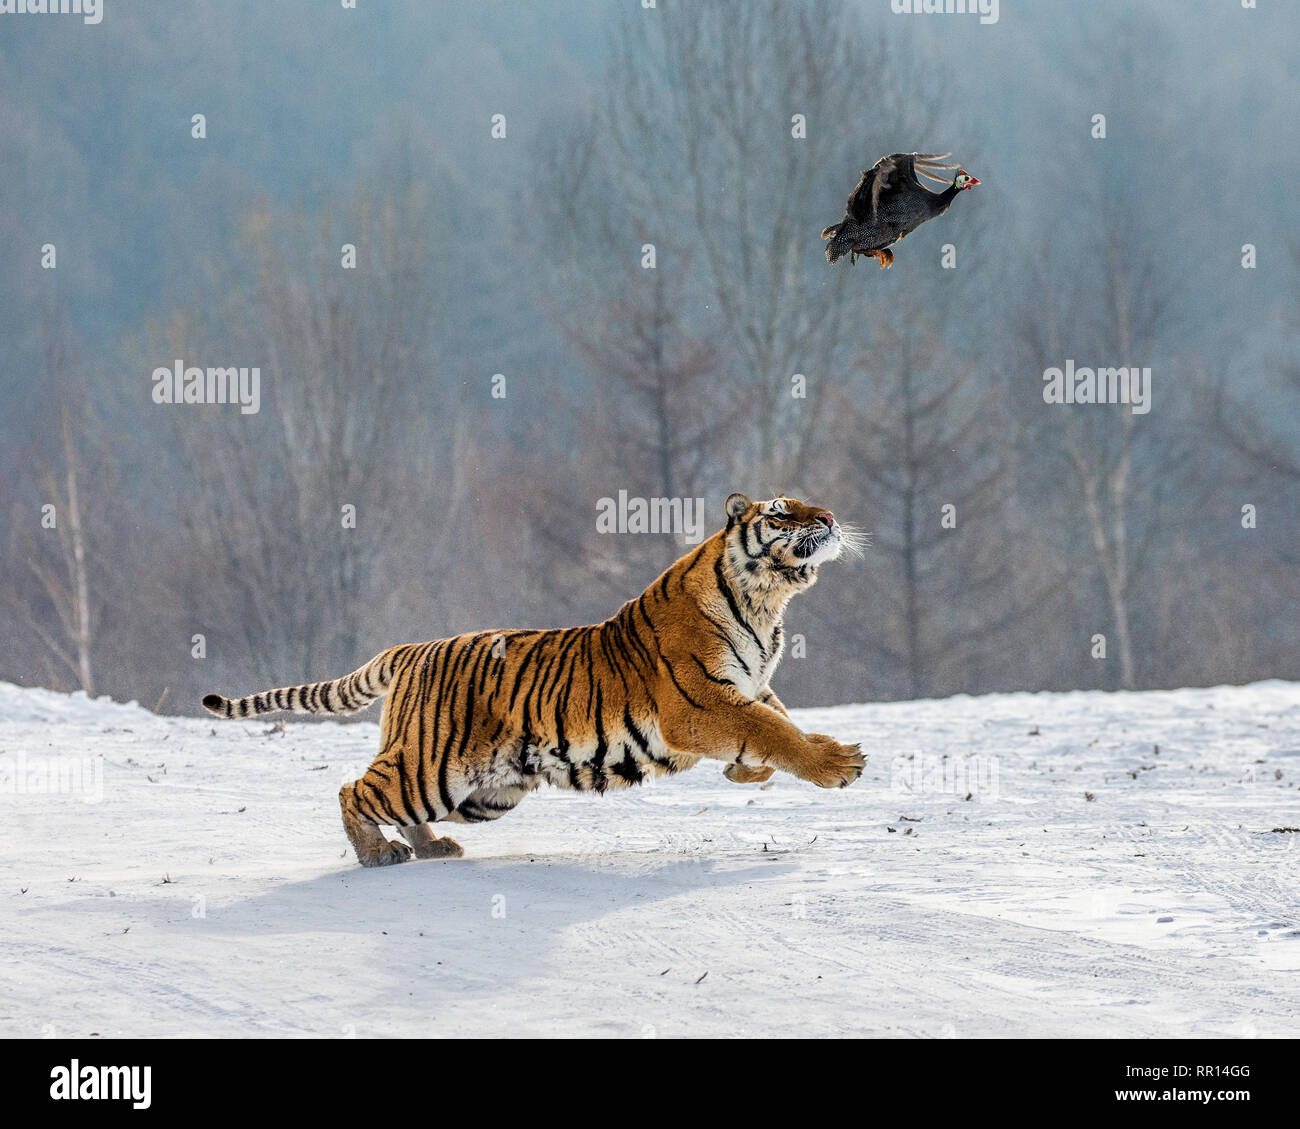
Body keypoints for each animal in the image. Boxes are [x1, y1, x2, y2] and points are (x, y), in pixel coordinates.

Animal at [202, 492, 867, 867]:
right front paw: (838, 765)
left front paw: (746, 772)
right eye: (780, 512)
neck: (769, 601)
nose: (832, 516)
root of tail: (412, 647)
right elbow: (772, 729)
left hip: (483, 795)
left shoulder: (751, 686)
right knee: (353, 789)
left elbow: (777, 722)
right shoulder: (699, 703)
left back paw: (430, 848)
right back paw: (376, 854)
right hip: (428, 769)